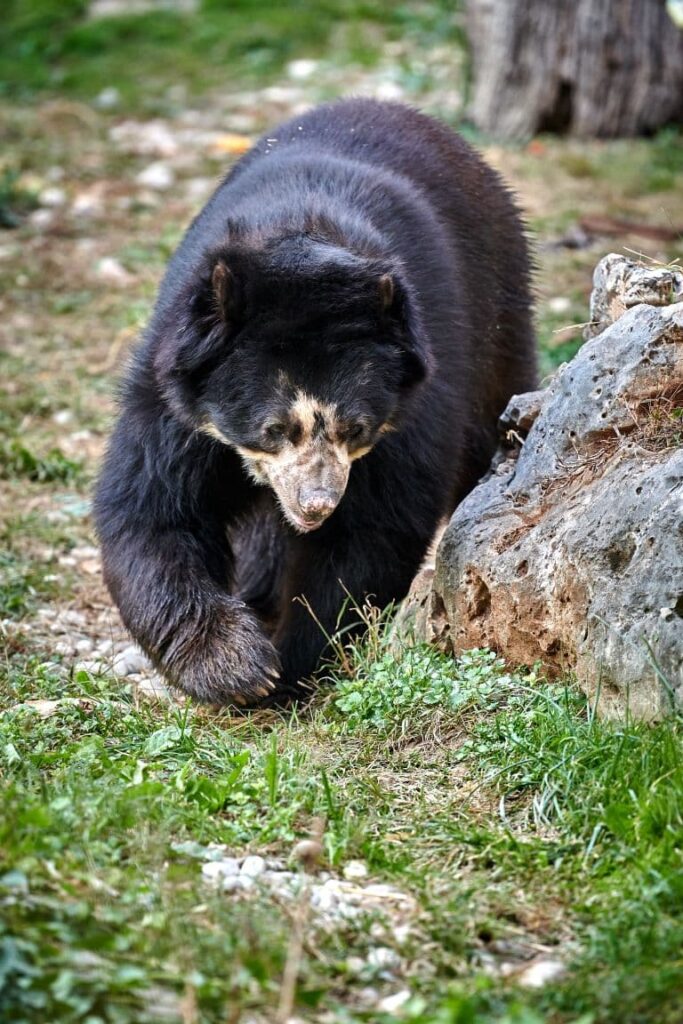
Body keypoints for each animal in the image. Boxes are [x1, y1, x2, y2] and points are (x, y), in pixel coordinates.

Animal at [94, 98, 536, 706]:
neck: (305, 234)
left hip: (499, 315)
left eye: (356, 428)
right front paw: (239, 666)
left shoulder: (415, 405)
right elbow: (154, 509)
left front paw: (290, 665)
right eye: (273, 428)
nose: (316, 506)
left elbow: (372, 532)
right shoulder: (175, 394)